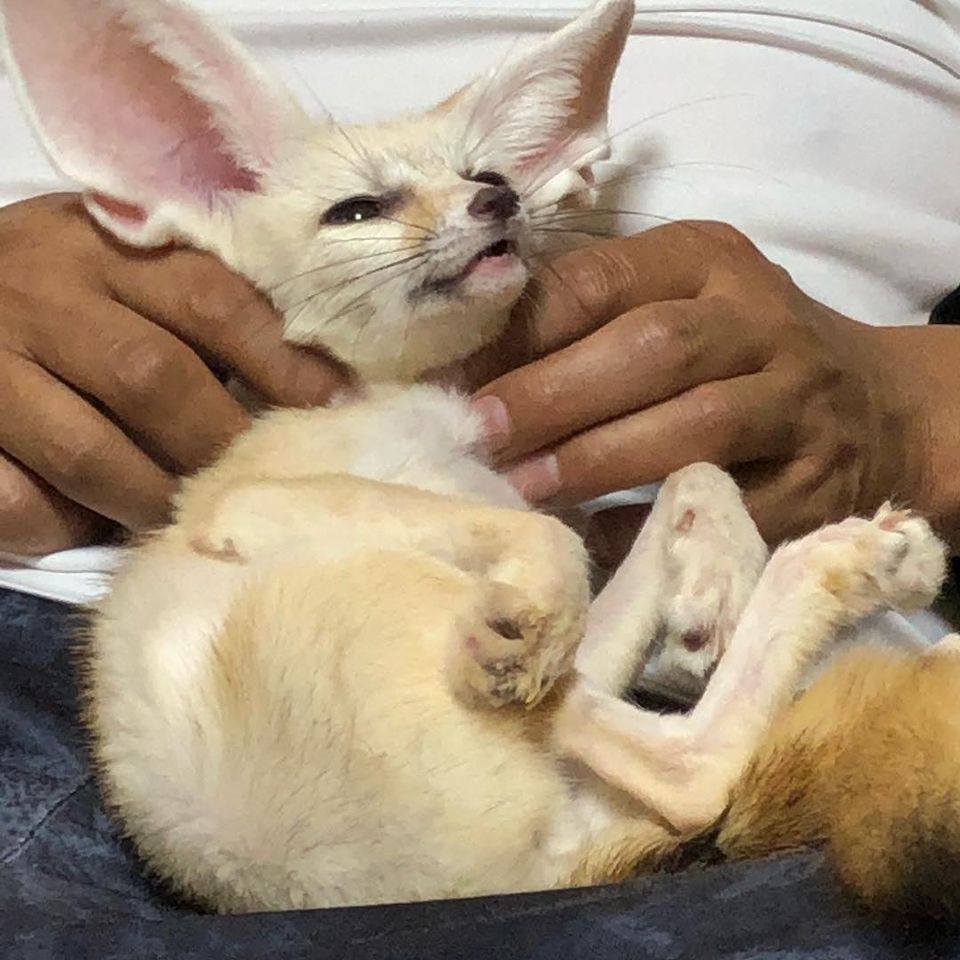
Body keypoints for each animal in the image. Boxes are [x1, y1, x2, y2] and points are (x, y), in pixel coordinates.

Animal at [3, 0, 958, 919]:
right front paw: (616, 582)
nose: (498, 205)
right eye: (357, 210)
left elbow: (696, 471)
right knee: (694, 776)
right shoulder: (258, 507)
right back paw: (837, 571)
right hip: (415, 602)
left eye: (487, 177)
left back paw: (859, 571)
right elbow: (551, 538)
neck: (427, 413)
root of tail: (526, 876)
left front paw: (719, 570)